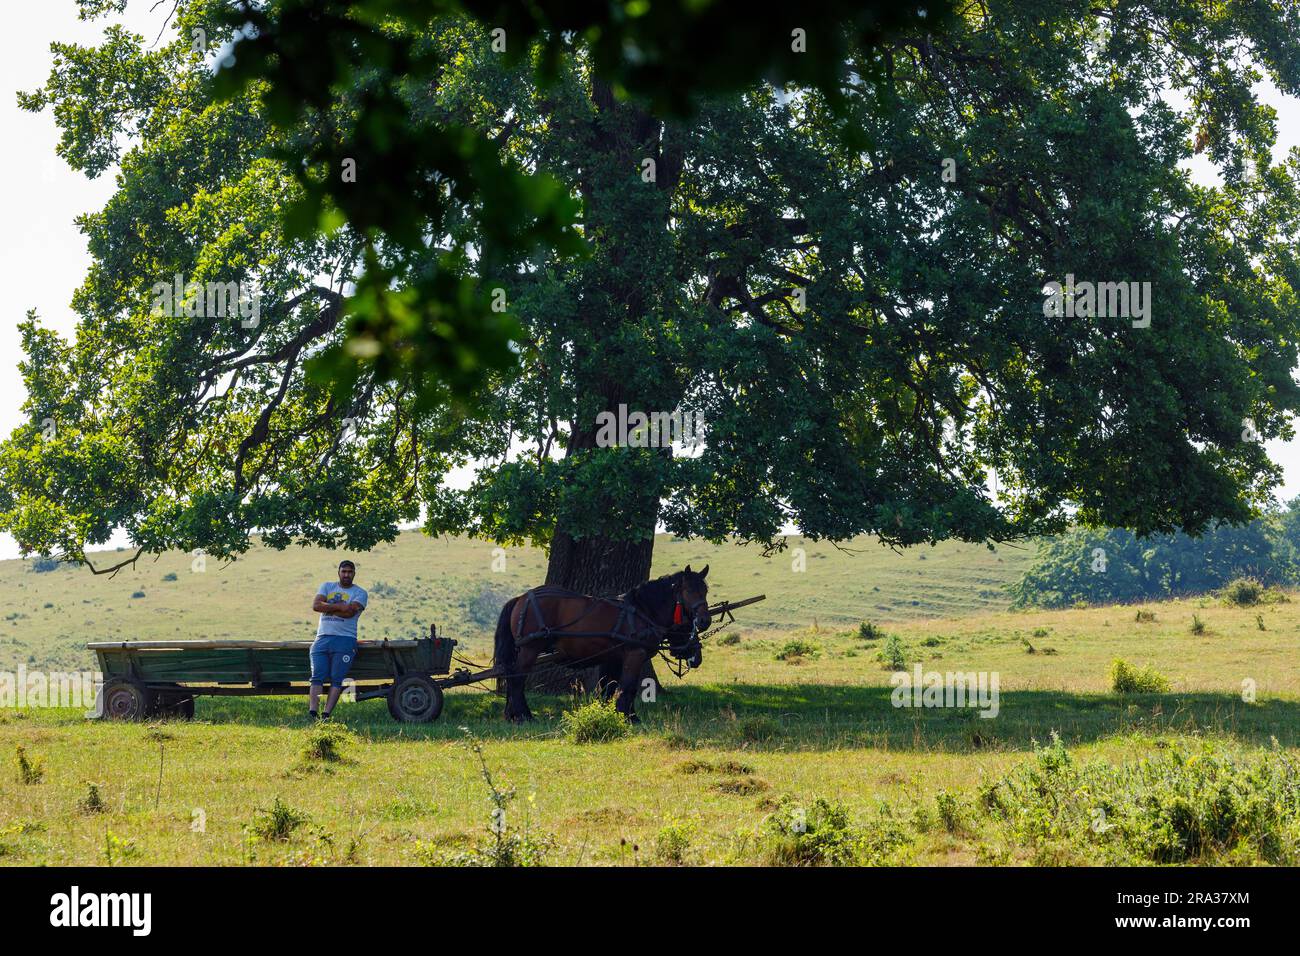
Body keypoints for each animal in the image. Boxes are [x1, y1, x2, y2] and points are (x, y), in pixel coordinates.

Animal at [492, 565, 712, 723]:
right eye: (689, 590)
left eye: (705, 590)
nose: (704, 621)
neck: (642, 609)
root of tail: (521, 598)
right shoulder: (635, 654)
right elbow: (628, 686)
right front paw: (629, 717)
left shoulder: (614, 658)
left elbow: (610, 687)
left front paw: (612, 713)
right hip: (530, 648)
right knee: (517, 679)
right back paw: (523, 715)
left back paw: (513, 714)